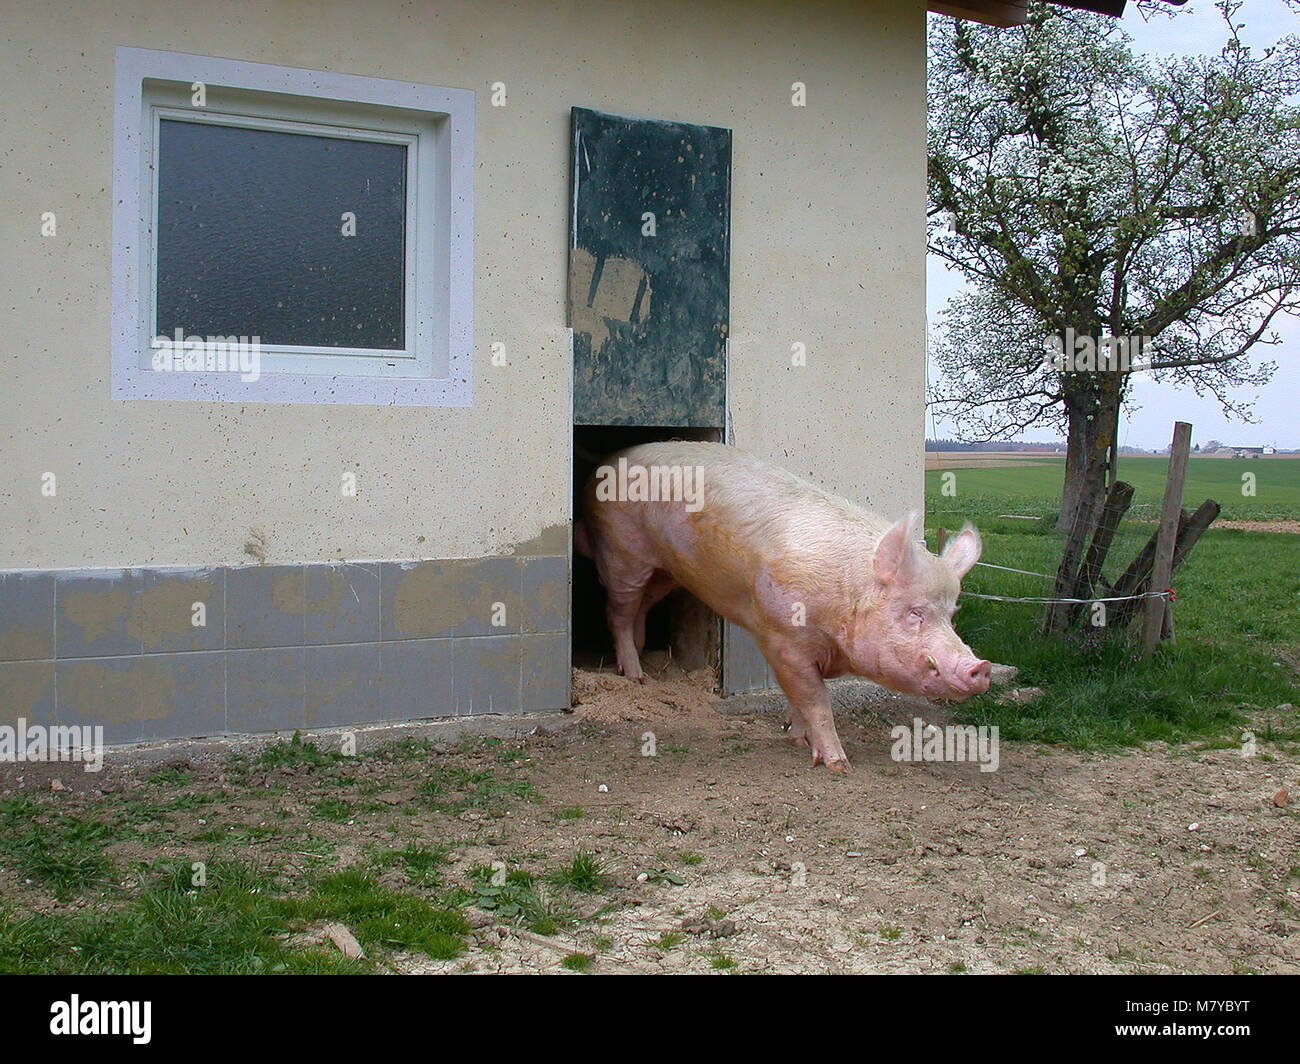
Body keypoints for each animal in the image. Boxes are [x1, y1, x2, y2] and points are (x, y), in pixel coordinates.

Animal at [575, 441, 991, 772]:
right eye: (914, 613)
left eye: (951, 616)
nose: (980, 668)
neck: (844, 602)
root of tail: (607, 461)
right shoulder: (782, 637)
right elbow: (816, 700)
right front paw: (838, 765)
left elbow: (800, 697)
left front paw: (798, 738)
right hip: (621, 553)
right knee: (617, 611)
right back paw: (635, 676)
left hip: (666, 571)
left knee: (641, 608)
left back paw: (642, 663)